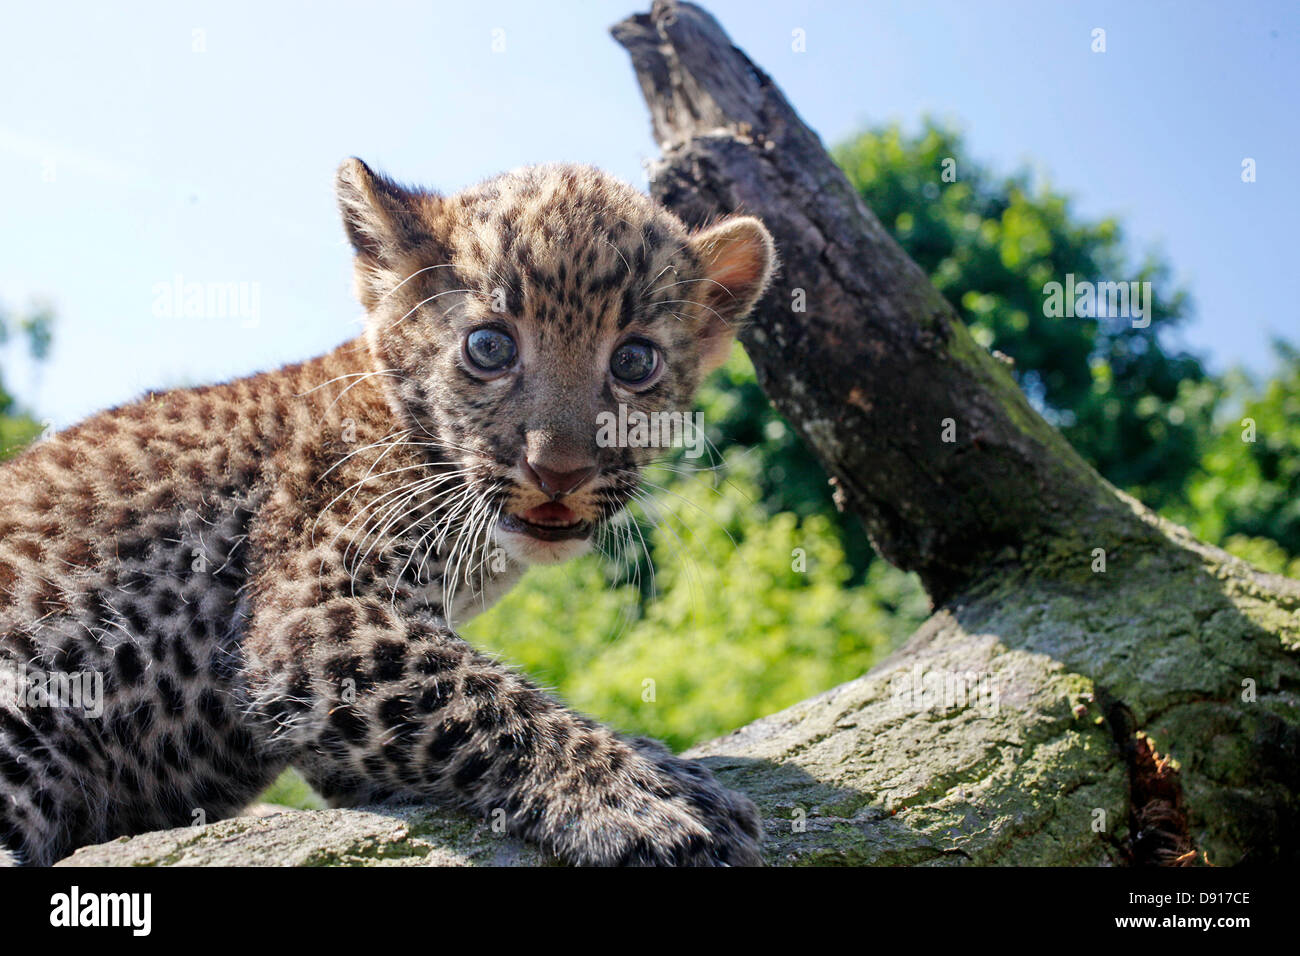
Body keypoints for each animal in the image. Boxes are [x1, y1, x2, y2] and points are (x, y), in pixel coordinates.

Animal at [0, 158, 775, 866]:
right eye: (489, 346)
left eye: (635, 361)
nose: (559, 470)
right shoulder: (312, 610)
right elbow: (482, 698)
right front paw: (637, 795)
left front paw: (655, 759)